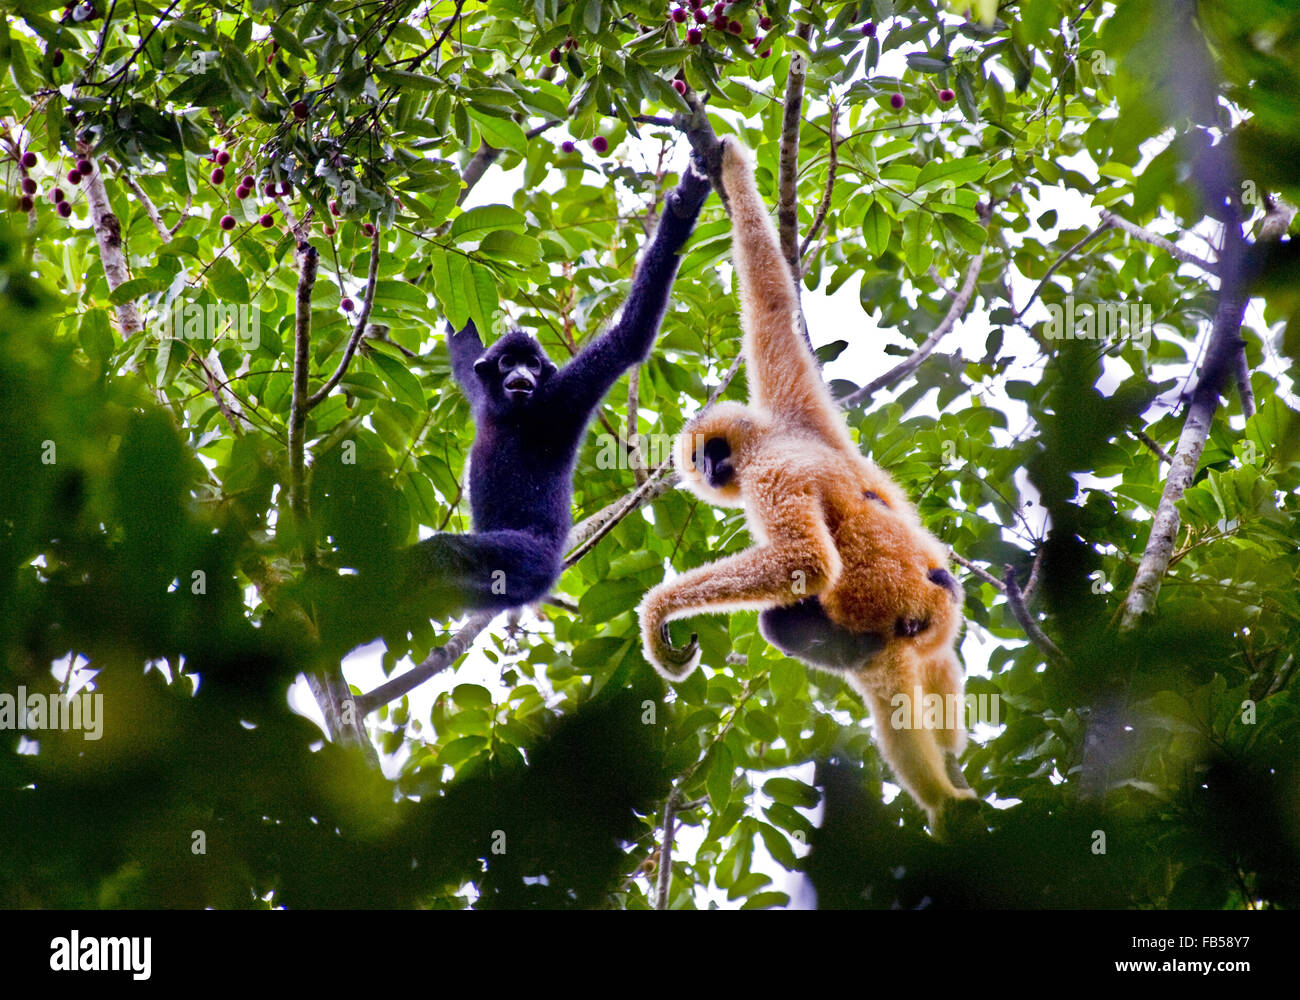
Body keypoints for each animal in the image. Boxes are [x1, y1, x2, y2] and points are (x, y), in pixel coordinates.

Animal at [637, 138, 975, 825]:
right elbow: (771, 303)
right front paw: (732, 169)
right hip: (941, 620)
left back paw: (942, 802)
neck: (773, 438)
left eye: (711, 455)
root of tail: (935, 590)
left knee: (850, 655)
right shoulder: (799, 406)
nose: (707, 470)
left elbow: (805, 562)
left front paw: (659, 611)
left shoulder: (771, 471)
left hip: (889, 618)